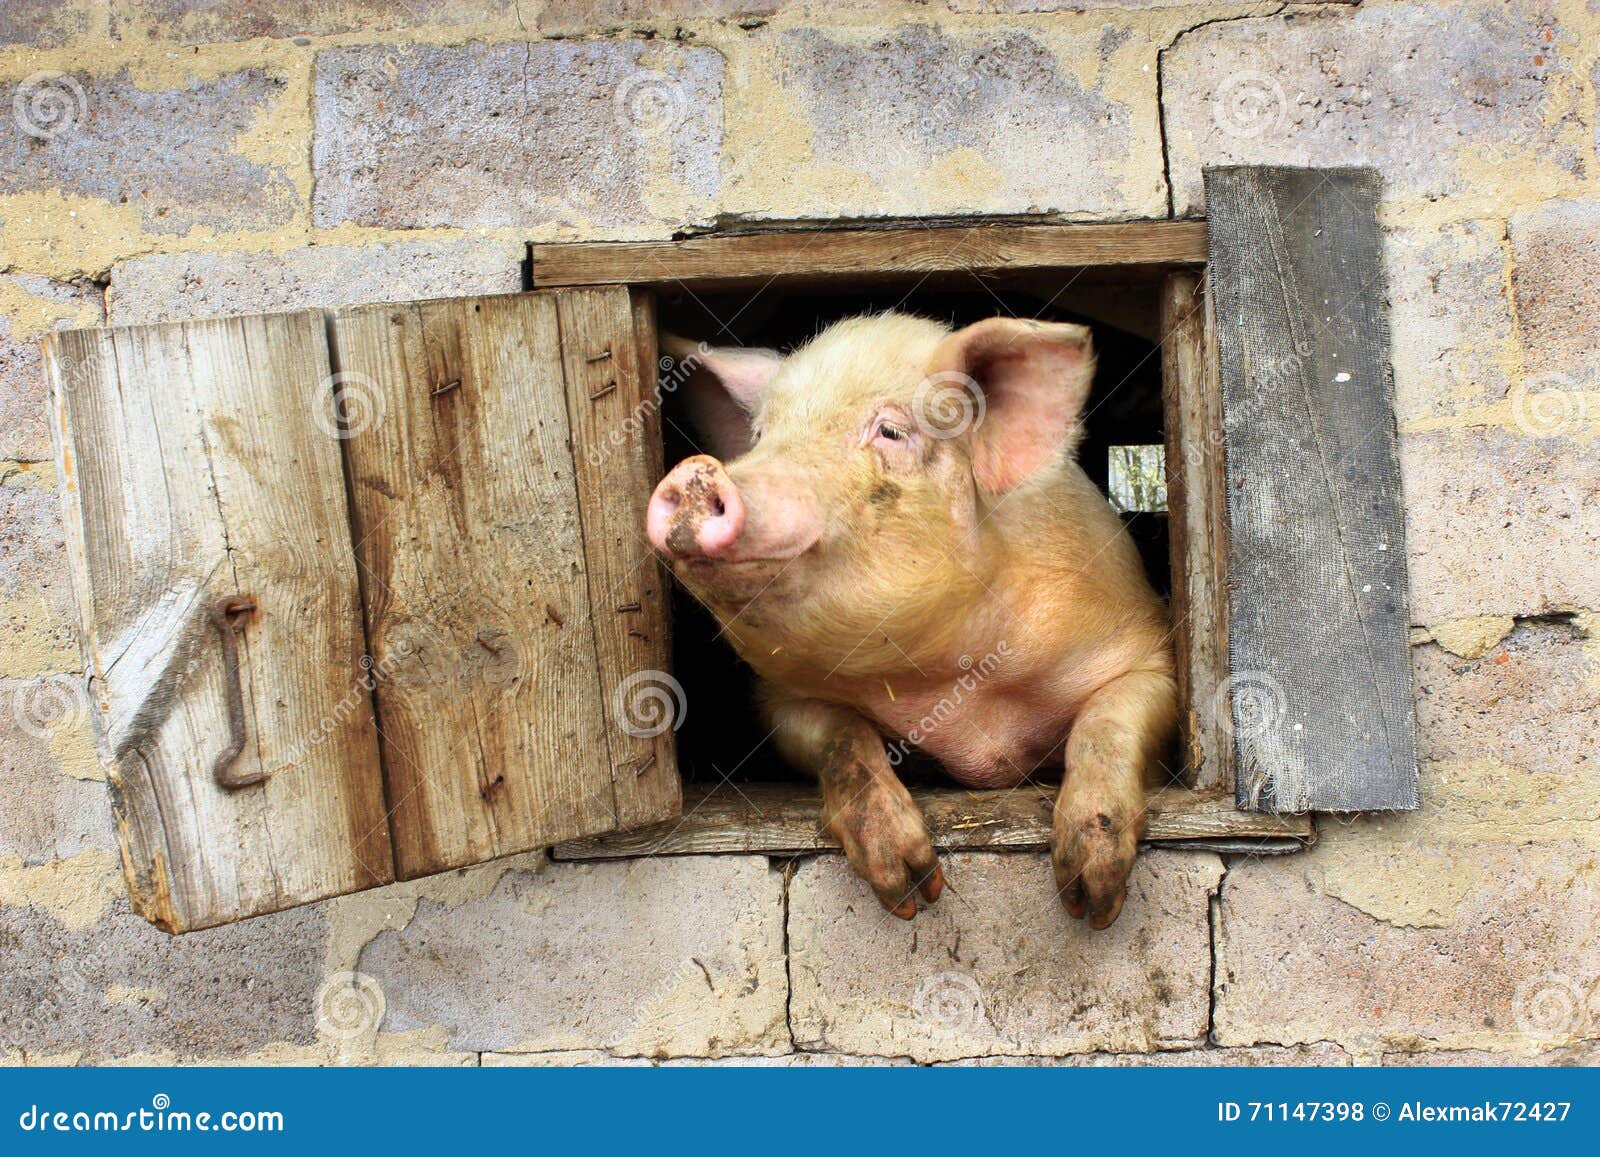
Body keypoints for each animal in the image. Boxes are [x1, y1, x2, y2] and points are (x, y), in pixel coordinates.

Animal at [645, 314, 1177, 929]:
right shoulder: (779, 700)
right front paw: (914, 890)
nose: (696, 474)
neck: (963, 704)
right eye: (759, 436)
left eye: (891, 433)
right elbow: (841, 739)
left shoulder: (1146, 649)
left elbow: (1107, 722)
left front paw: (1090, 898)